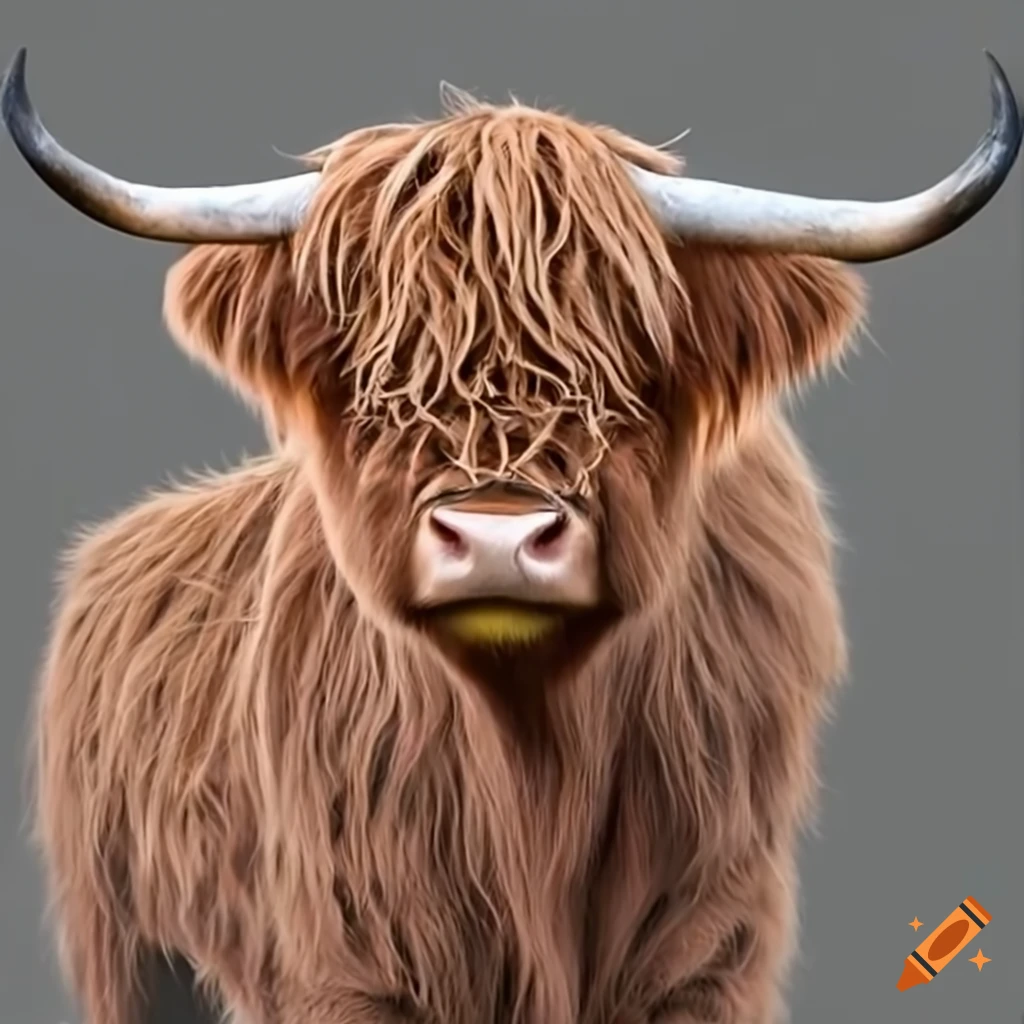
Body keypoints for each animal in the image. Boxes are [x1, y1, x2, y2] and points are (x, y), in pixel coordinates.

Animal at [3, 46, 1020, 1024]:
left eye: (630, 367)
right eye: (379, 374)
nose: (498, 540)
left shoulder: (710, 948)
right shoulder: (346, 957)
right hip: (128, 948)